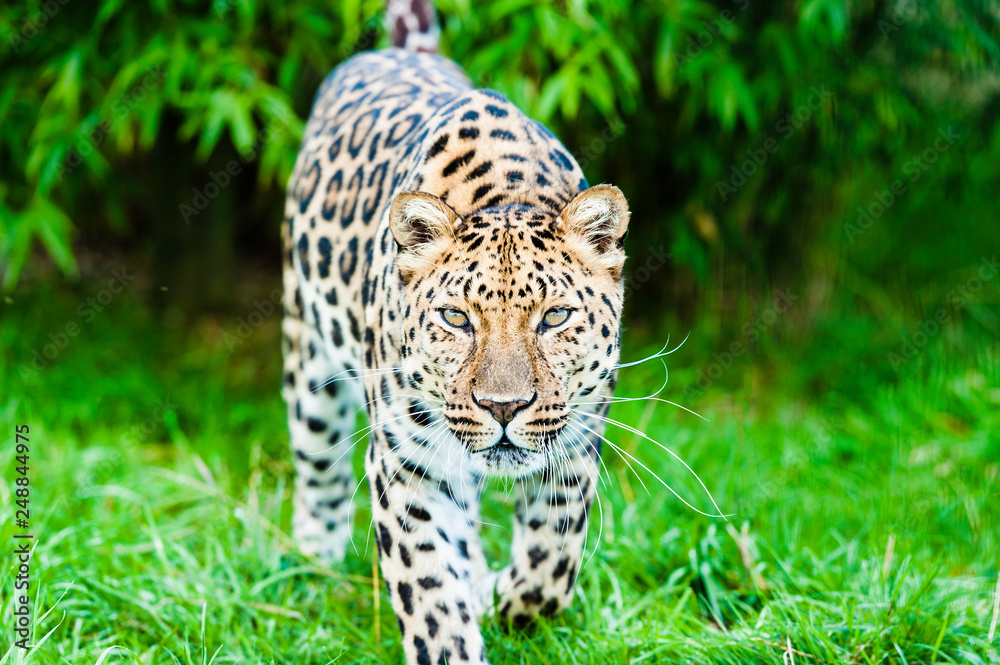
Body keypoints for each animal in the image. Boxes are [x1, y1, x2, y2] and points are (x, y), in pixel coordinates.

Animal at [281, 1, 630, 662]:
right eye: (456, 319)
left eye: (554, 317)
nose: (503, 407)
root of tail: (402, 50)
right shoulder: (406, 469)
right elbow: (432, 596)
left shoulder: (574, 445)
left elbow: (552, 563)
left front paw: (504, 598)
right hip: (308, 360)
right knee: (316, 470)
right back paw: (310, 564)